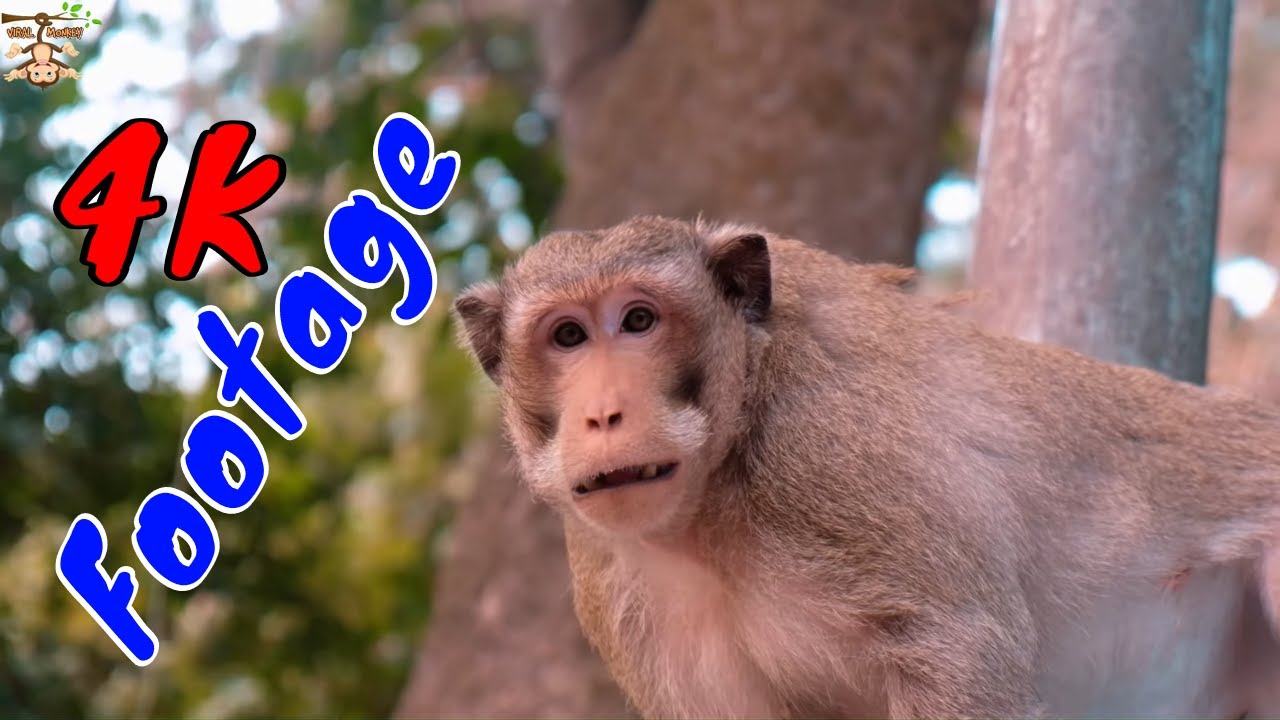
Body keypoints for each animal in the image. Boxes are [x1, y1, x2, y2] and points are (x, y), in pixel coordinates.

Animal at [451, 215, 1280, 719]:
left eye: (639, 320)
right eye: (567, 336)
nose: (603, 415)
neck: (713, 503)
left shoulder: (830, 451)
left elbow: (961, 653)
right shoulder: (613, 576)